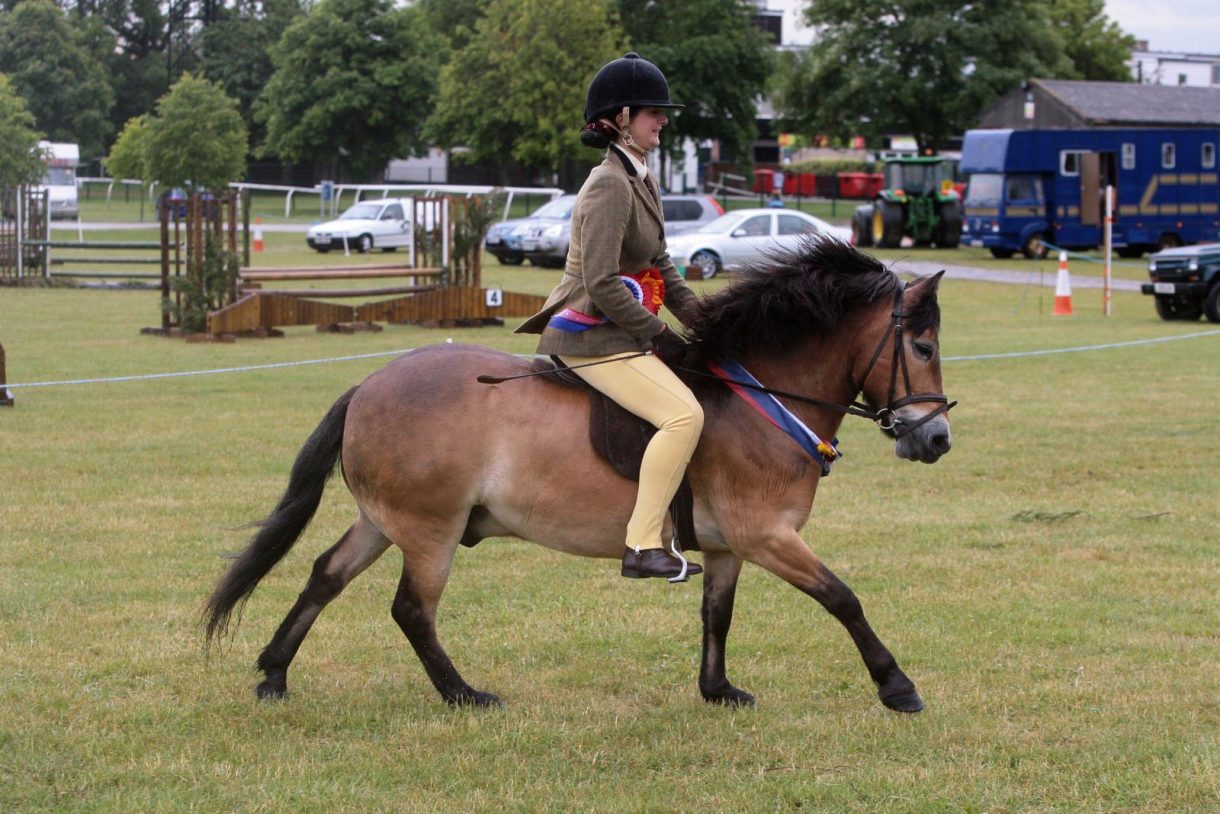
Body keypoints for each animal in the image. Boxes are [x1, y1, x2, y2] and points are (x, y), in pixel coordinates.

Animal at [204, 237, 954, 712]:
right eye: (921, 346)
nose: (938, 438)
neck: (762, 398)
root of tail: (369, 384)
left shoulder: (728, 545)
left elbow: (718, 613)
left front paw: (717, 691)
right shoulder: (766, 534)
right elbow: (843, 599)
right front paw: (898, 687)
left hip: (386, 520)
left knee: (324, 576)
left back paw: (274, 674)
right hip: (430, 529)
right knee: (412, 610)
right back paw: (464, 695)